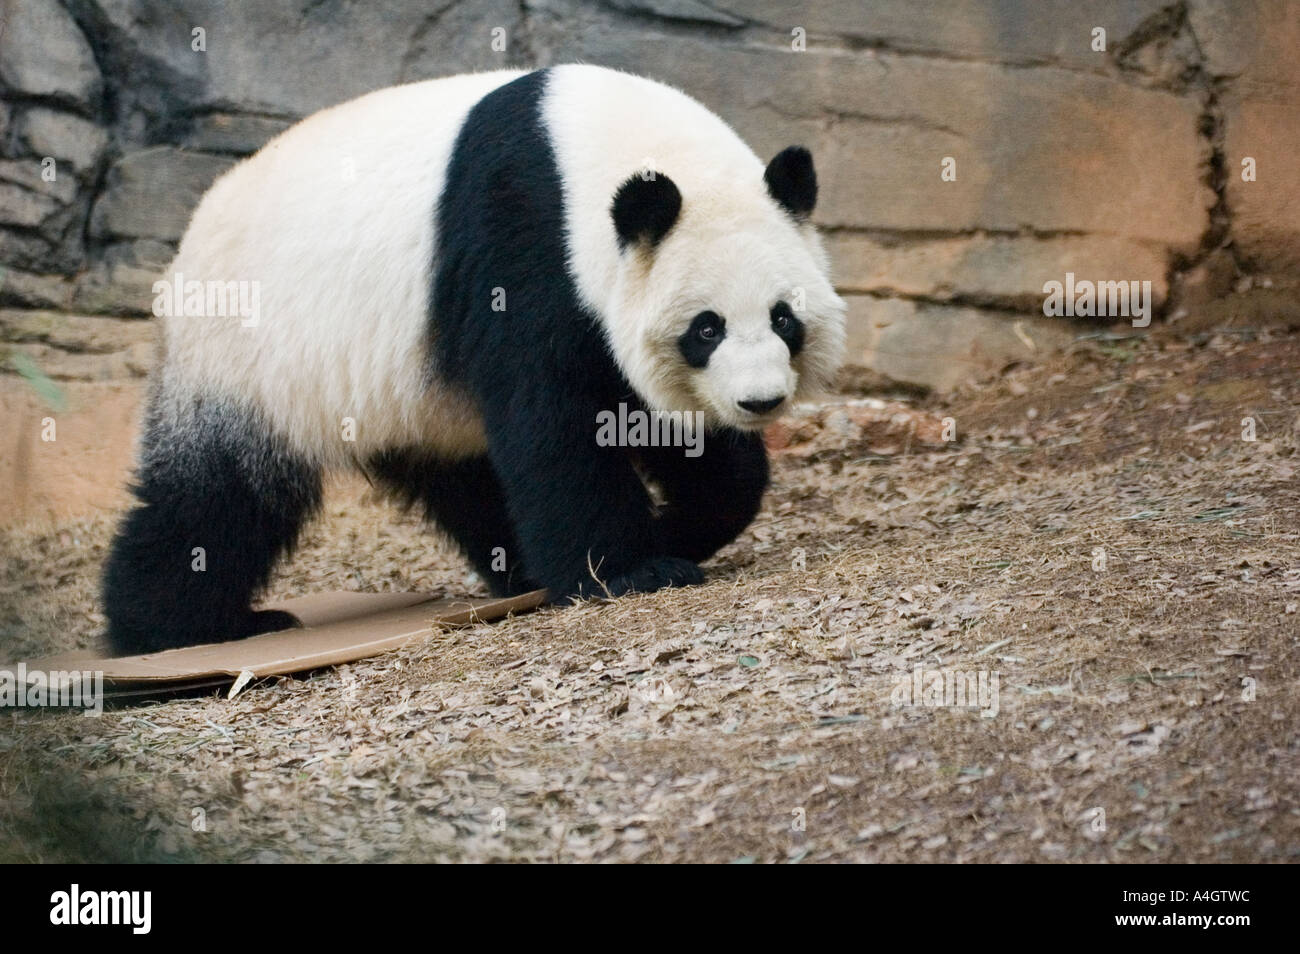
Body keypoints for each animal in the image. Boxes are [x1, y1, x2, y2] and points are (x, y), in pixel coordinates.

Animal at [102, 64, 847, 655]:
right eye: (705, 329)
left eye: (783, 317)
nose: (760, 401)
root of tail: (188, 235)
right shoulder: (524, 241)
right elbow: (553, 419)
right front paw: (633, 570)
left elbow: (672, 435)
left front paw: (677, 529)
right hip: (244, 349)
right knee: (220, 495)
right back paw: (176, 627)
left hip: (408, 394)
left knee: (461, 473)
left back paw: (516, 566)